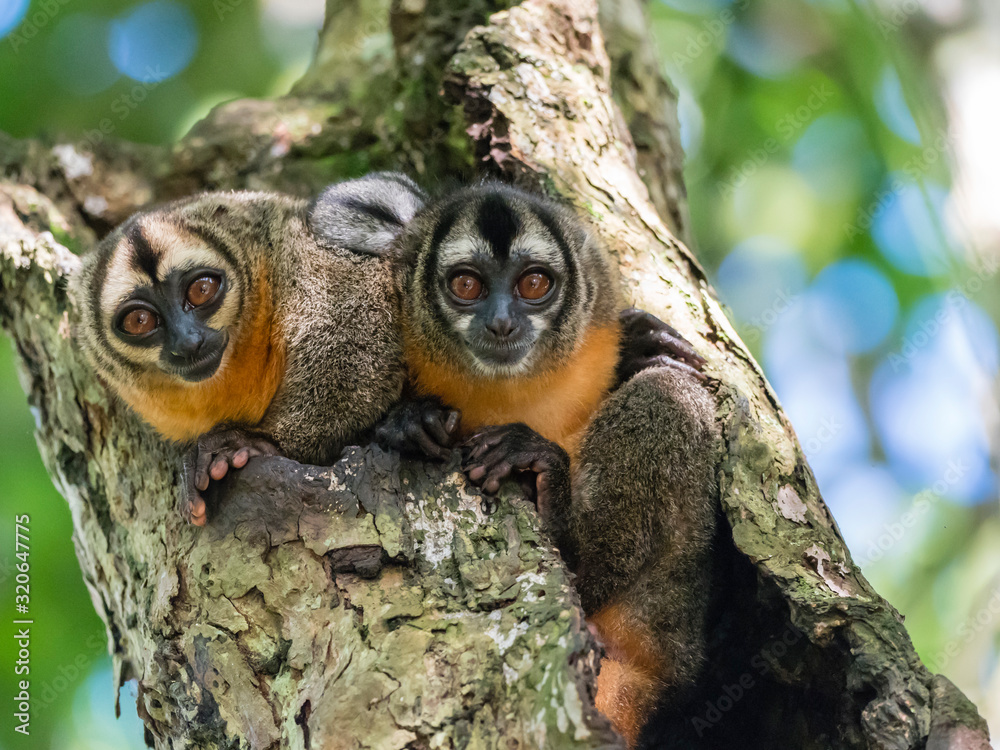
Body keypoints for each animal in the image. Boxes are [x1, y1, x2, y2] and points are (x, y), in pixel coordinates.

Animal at [73, 173, 426, 525]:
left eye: (201, 290)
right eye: (140, 320)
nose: (188, 341)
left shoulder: (297, 253)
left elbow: (355, 309)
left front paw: (259, 442)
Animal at [341, 179, 718, 746]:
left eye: (534, 283)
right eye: (467, 284)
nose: (501, 322)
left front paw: (644, 343)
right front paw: (408, 423)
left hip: (671, 611)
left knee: (667, 395)